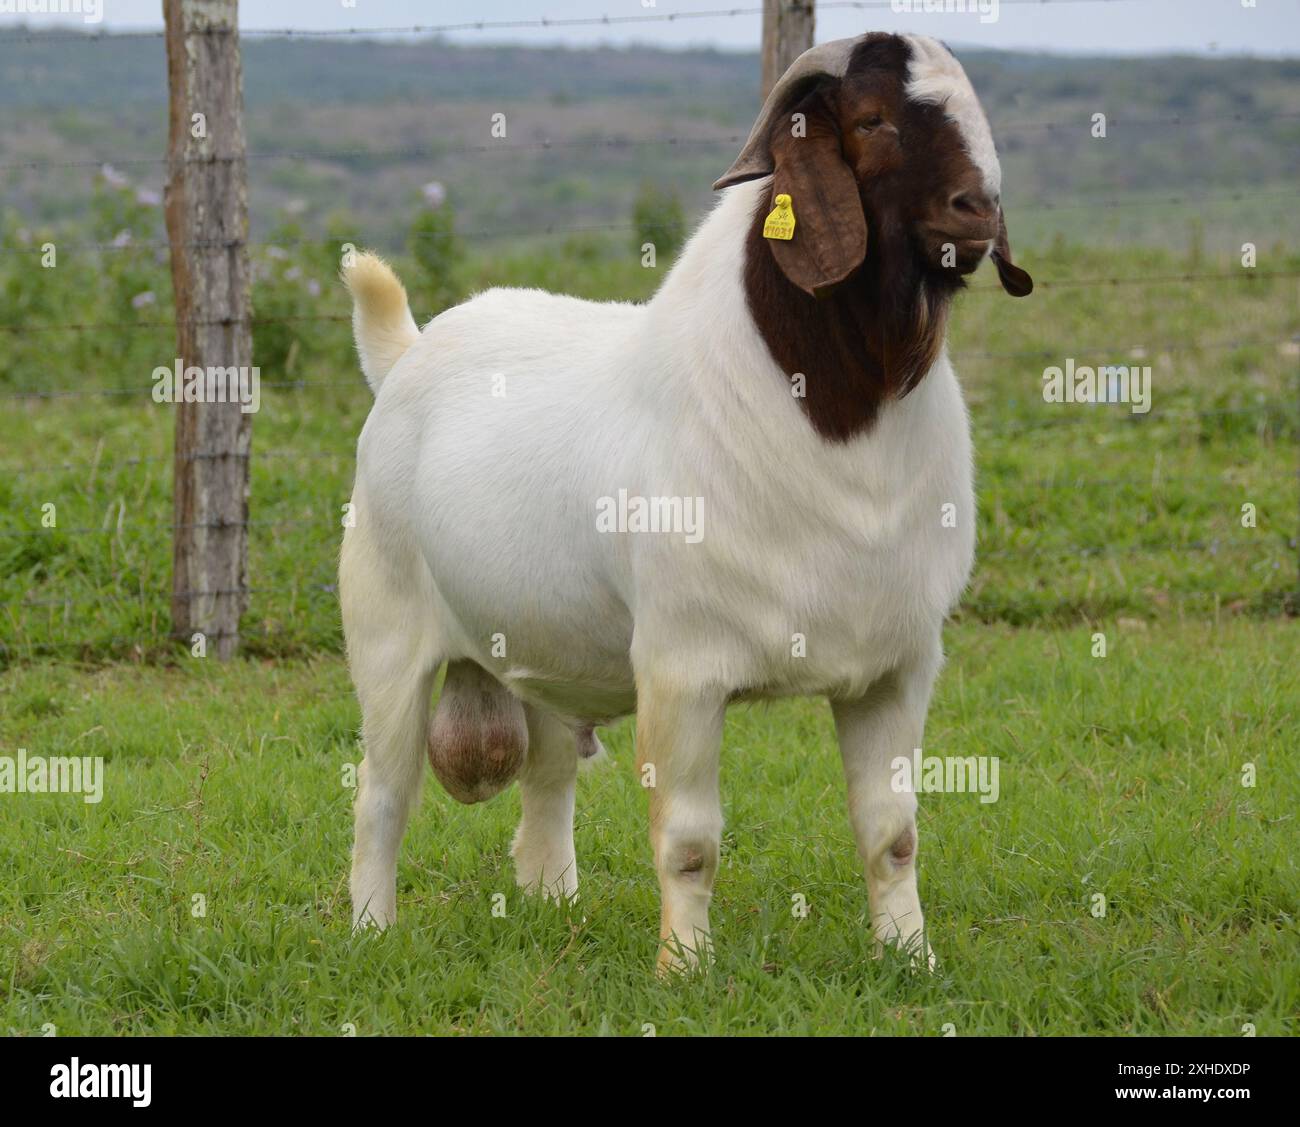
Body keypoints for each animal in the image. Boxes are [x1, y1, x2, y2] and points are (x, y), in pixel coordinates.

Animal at [340, 32, 1032, 974]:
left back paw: (554, 903)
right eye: (871, 119)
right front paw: (685, 971)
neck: (836, 421)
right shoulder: (683, 670)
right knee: (383, 793)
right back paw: (372, 929)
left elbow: (893, 832)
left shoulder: (896, 668)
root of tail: (407, 352)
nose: (979, 212)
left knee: (548, 772)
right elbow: (691, 841)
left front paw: (908, 957)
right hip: (386, 638)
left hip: (540, 648)